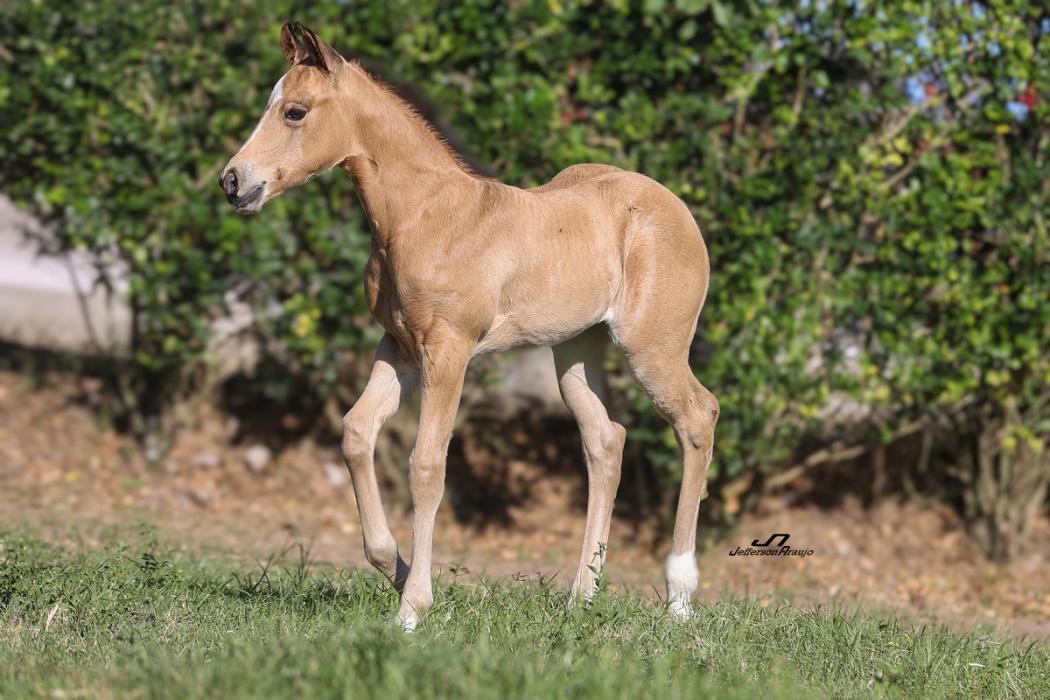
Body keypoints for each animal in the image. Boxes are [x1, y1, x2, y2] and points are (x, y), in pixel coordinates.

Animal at [220, 22, 719, 631]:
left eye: (294, 111)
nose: (233, 182)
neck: (427, 217)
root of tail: (678, 208)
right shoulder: (400, 347)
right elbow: (357, 432)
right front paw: (397, 569)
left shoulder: (449, 350)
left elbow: (426, 464)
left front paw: (412, 609)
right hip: (576, 350)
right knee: (606, 440)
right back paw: (581, 599)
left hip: (652, 348)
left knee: (697, 417)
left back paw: (679, 599)